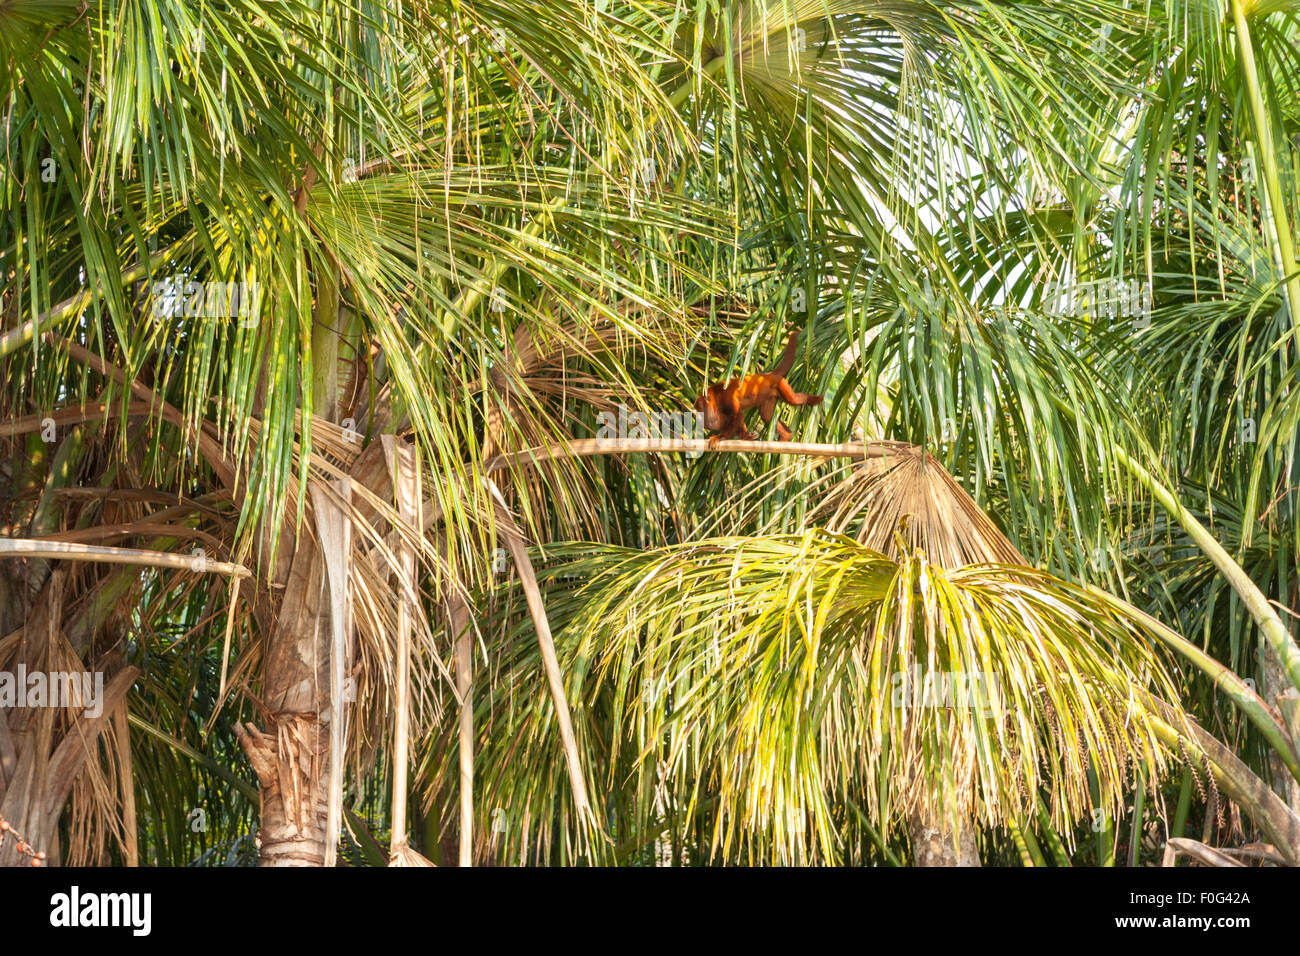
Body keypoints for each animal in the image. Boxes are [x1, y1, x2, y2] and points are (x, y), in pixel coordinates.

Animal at [694, 329, 823, 448]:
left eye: (700, 409)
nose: (699, 416)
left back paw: (816, 399)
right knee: (766, 416)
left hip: (781, 385)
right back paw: (786, 436)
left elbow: (737, 417)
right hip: (770, 396)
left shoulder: (727, 398)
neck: (716, 396)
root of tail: (769, 374)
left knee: (794, 400)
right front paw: (745, 436)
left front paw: (720, 437)